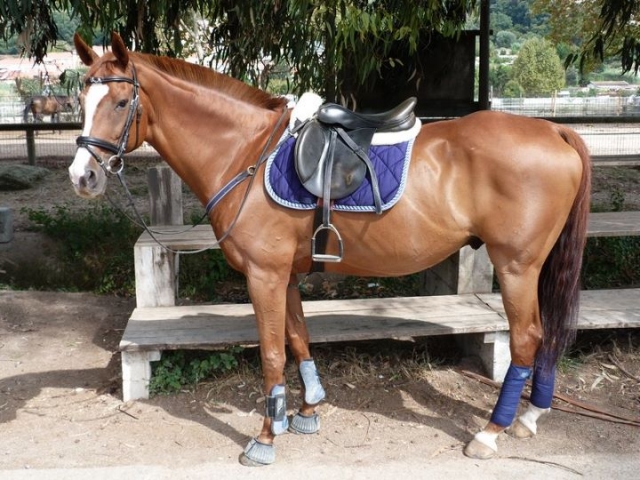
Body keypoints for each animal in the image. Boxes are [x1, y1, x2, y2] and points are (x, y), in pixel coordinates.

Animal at [69, 32, 591, 466]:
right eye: (80, 98)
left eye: (121, 102)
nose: (82, 176)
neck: (246, 153)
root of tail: (553, 130)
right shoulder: (286, 275)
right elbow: (298, 339)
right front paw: (303, 411)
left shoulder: (264, 276)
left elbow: (271, 354)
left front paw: (265, 437)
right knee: (545, 337)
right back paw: (529, 418)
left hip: (517, 266)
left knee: (526, 338)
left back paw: (491, 431)